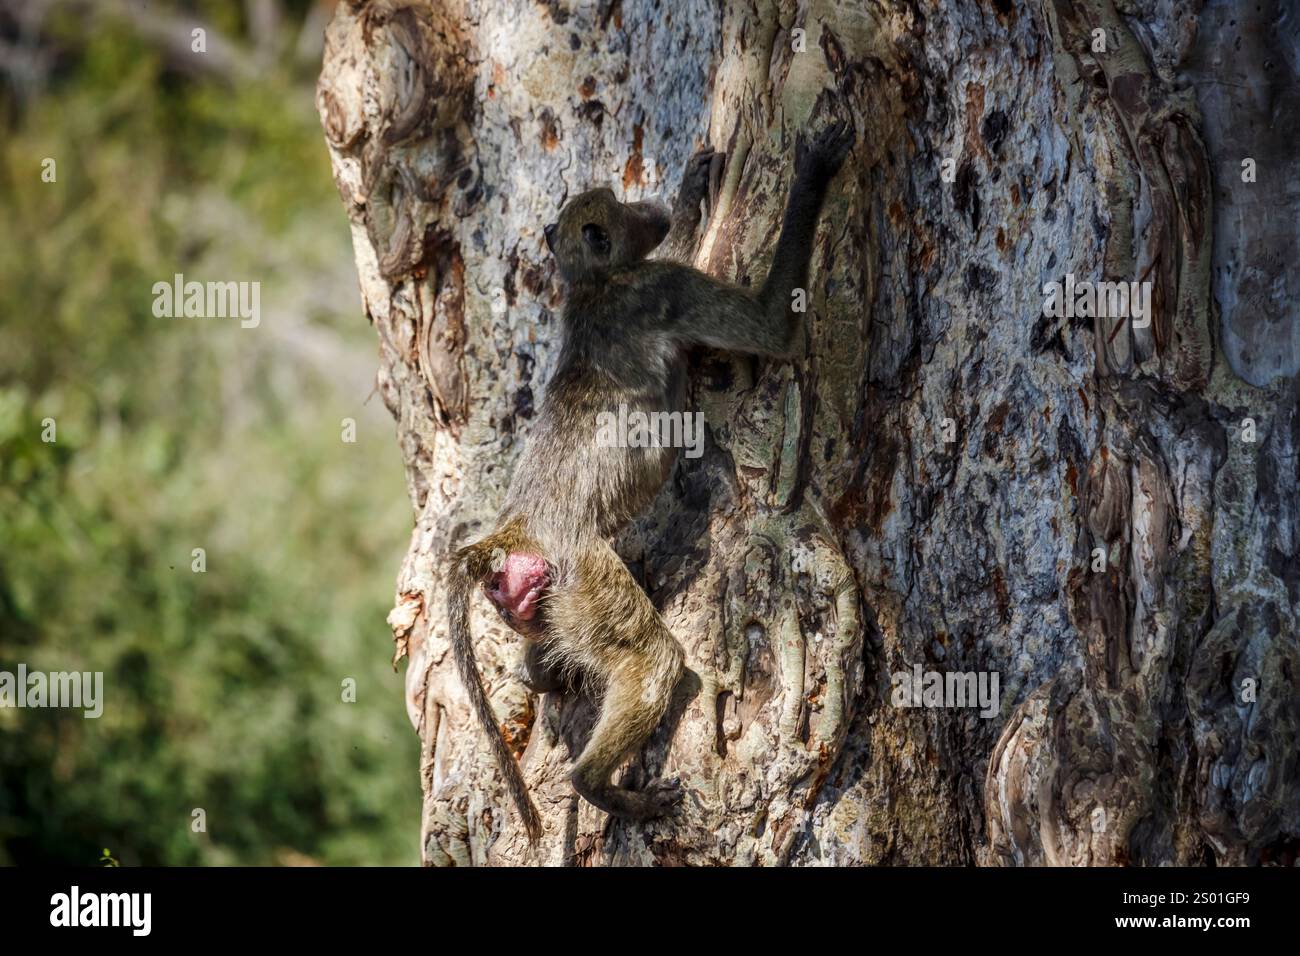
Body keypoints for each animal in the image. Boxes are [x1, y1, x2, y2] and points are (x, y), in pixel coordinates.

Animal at [449, 119, 855, 841]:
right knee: (653, 663)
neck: (591, 285)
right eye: (620, 206)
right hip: (585, 576)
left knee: (547, 666)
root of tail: (512, 531)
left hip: (541, 604)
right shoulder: (664, 286)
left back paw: (547, 677)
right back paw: (602, 788)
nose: (650, 206)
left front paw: (693, 191)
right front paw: (811, 166)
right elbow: (772, 327)